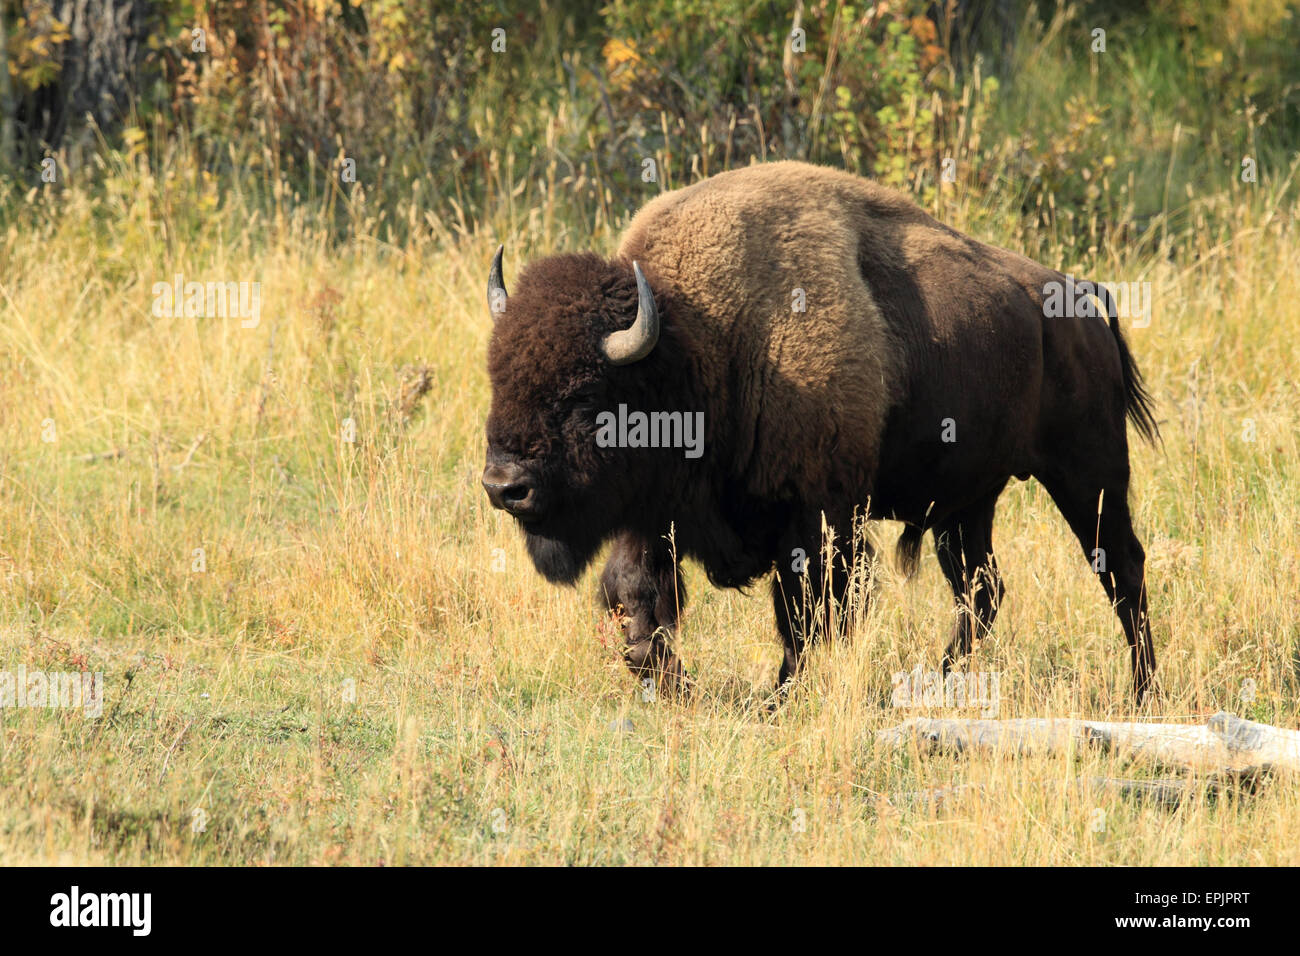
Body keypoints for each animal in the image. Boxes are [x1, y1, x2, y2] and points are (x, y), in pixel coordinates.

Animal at [482, 161, 1159, 702]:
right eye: (497, 375)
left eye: (584, 395)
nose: (503, 485)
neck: (699, 343)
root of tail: (1084, 298)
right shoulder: (651, 514)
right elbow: (635, 593)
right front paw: (671, 684)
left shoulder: (819, 517)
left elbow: (806, 616)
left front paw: (778, 698)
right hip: (969, 505)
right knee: (982, 589)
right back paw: (940, 684)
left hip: (1089, 473)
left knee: (1121, 569)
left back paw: (1142, 694)